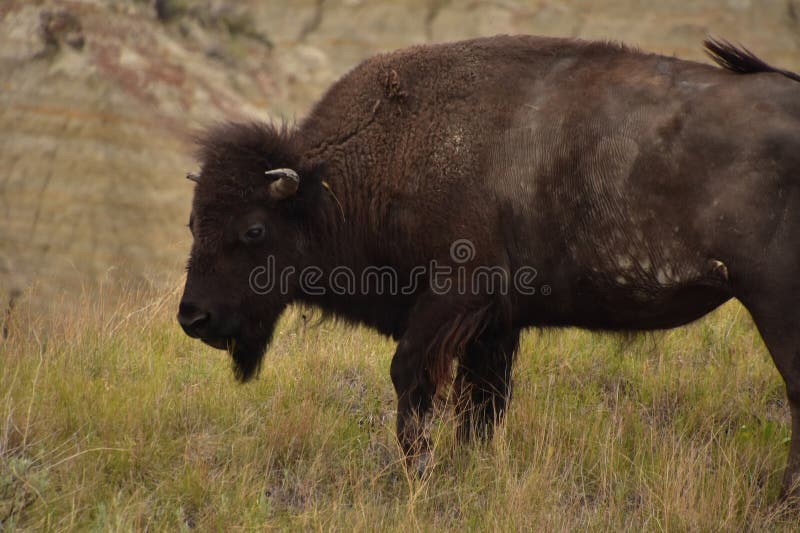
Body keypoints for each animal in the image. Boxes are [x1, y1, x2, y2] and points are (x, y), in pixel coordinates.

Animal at [178, 35, 800, 497]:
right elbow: (481, 406)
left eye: (253, 229)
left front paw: (418, 474)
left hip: (775, 303)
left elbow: (413, 380)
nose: (193, 319)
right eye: (192, 224)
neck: (333, 184)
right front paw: (465, 470)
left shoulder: (455, 300)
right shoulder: (494, 327)